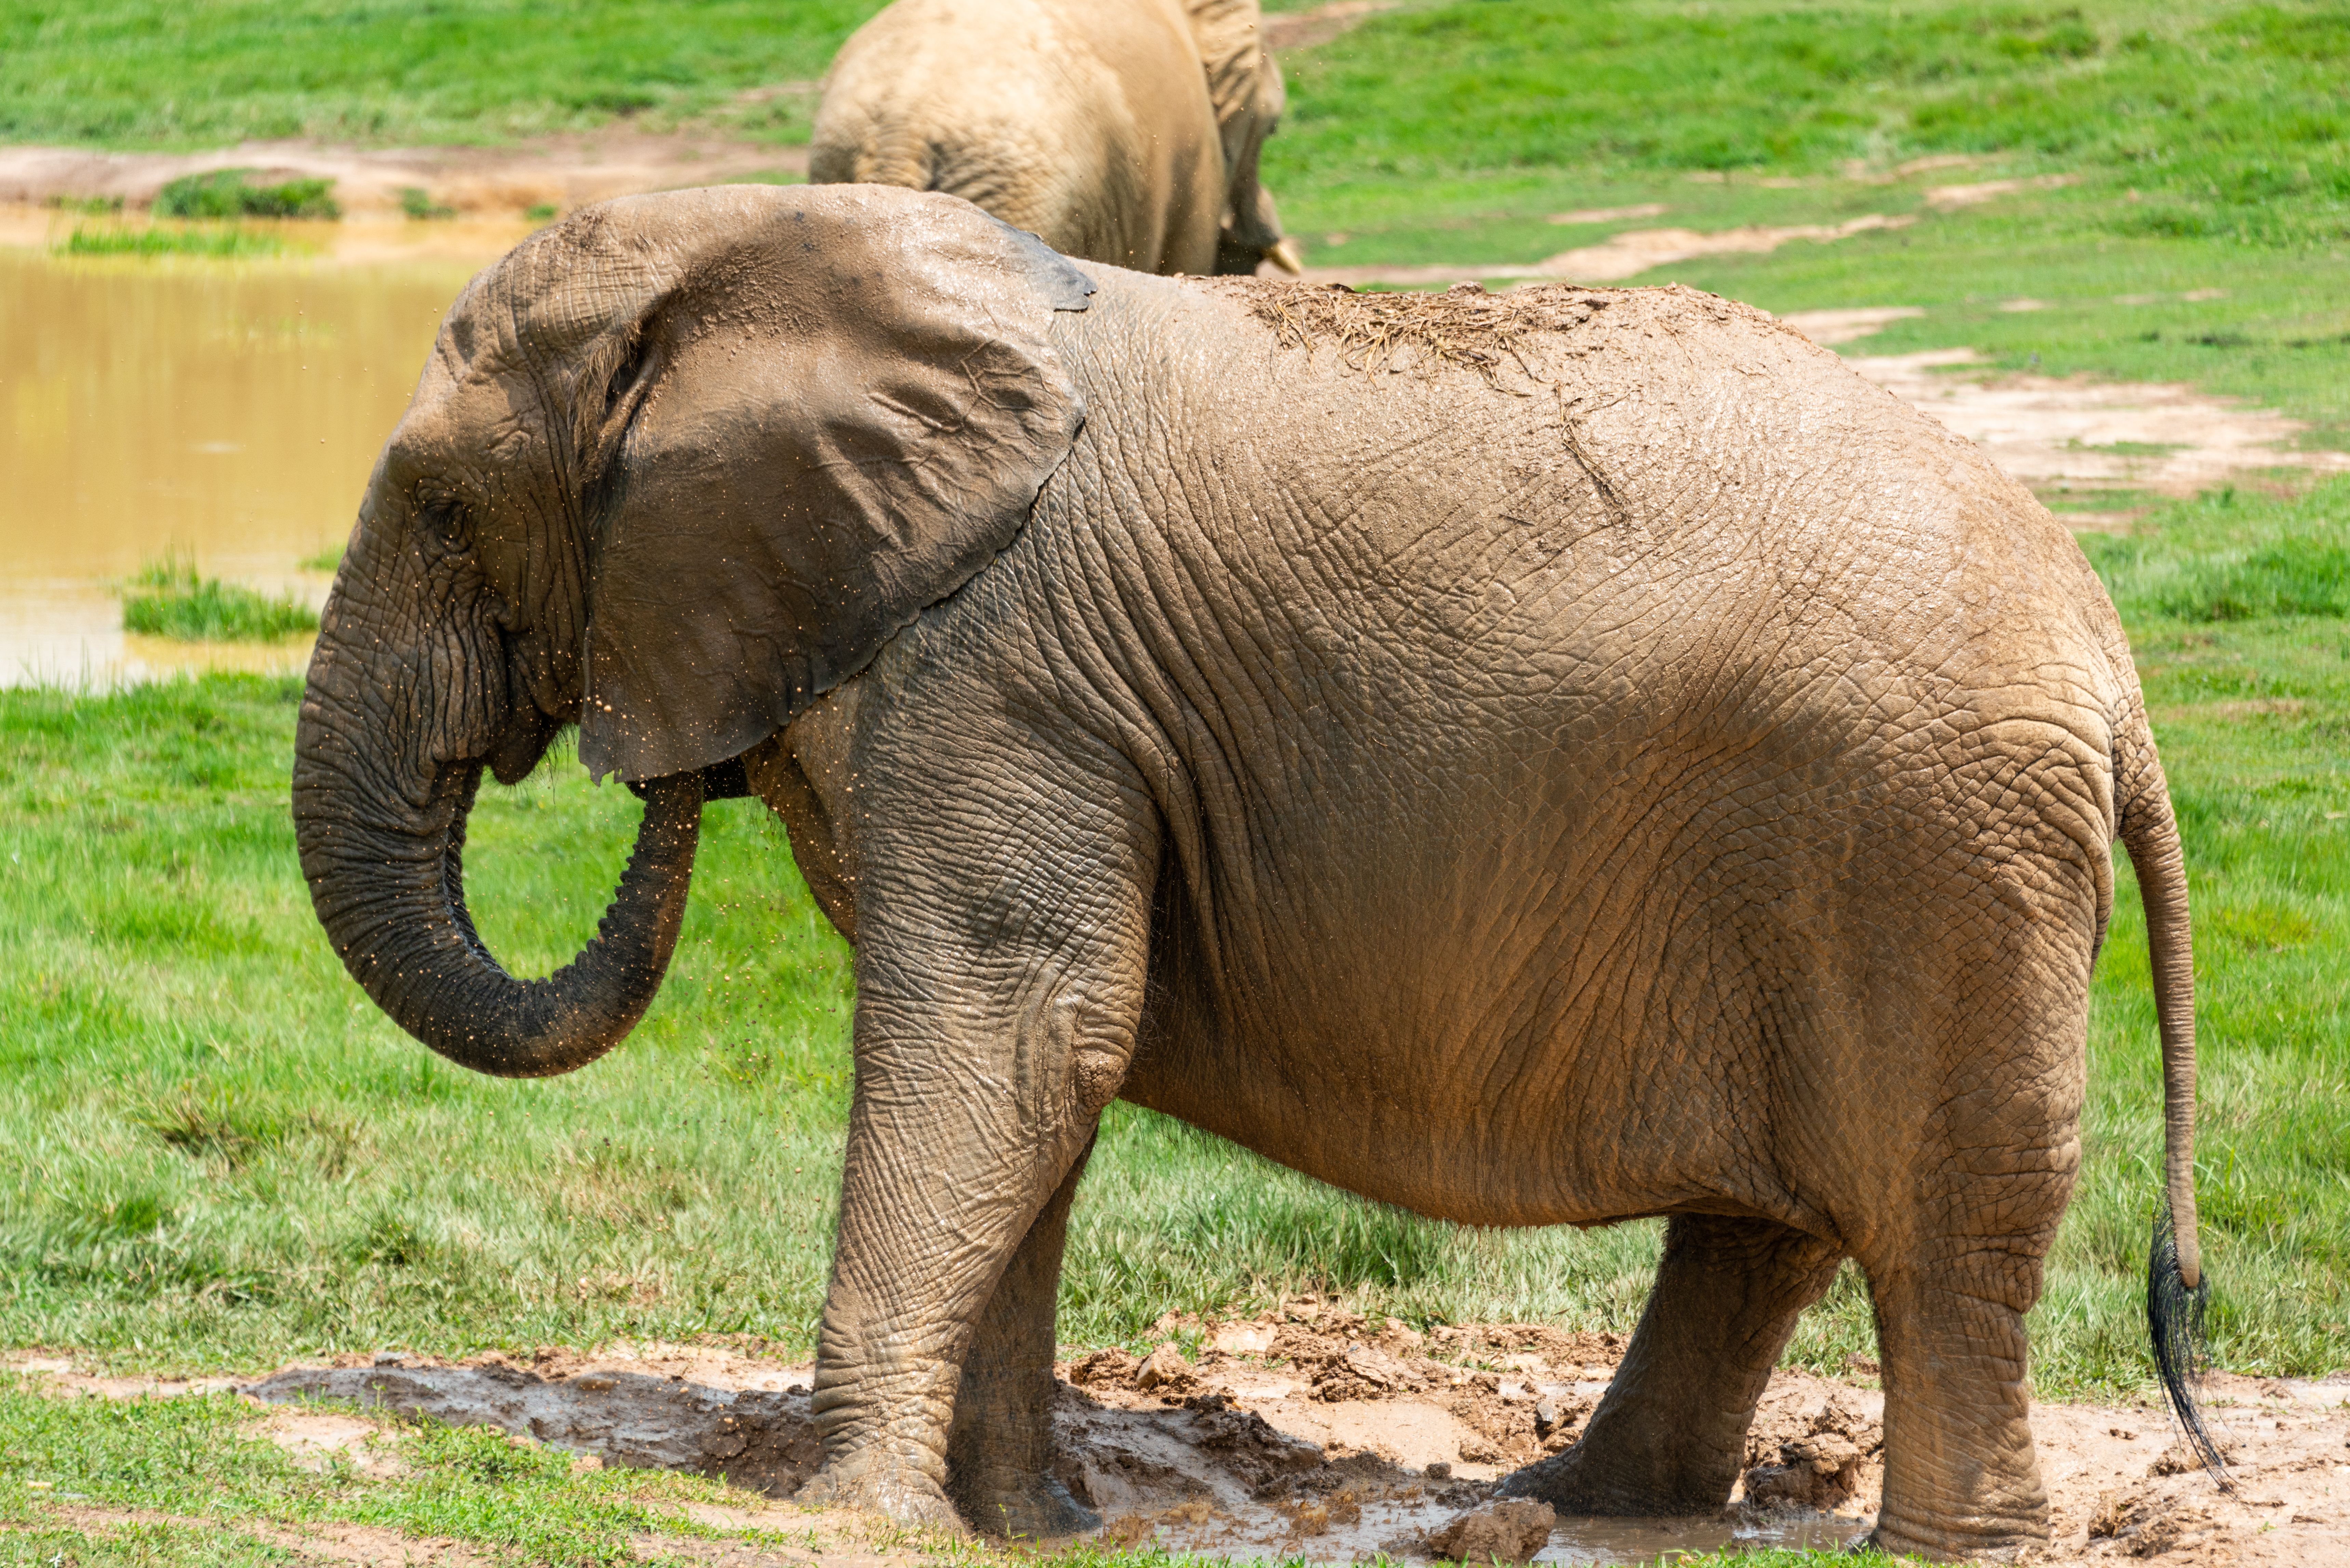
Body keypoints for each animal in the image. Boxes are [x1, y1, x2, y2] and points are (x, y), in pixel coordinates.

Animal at [292, 183, 2217, 1562]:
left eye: (446, 506)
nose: (660, 772)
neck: (770, 239)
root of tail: (2116, 682)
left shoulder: (997, 671)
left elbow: (1013, 1023)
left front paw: (840, 1514)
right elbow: (1036, 1064)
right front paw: (1024, 1525)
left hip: (1934, 857)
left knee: (1941, 1237)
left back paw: (1927, 1544)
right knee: (1766, 1230)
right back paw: (1572, 1509)